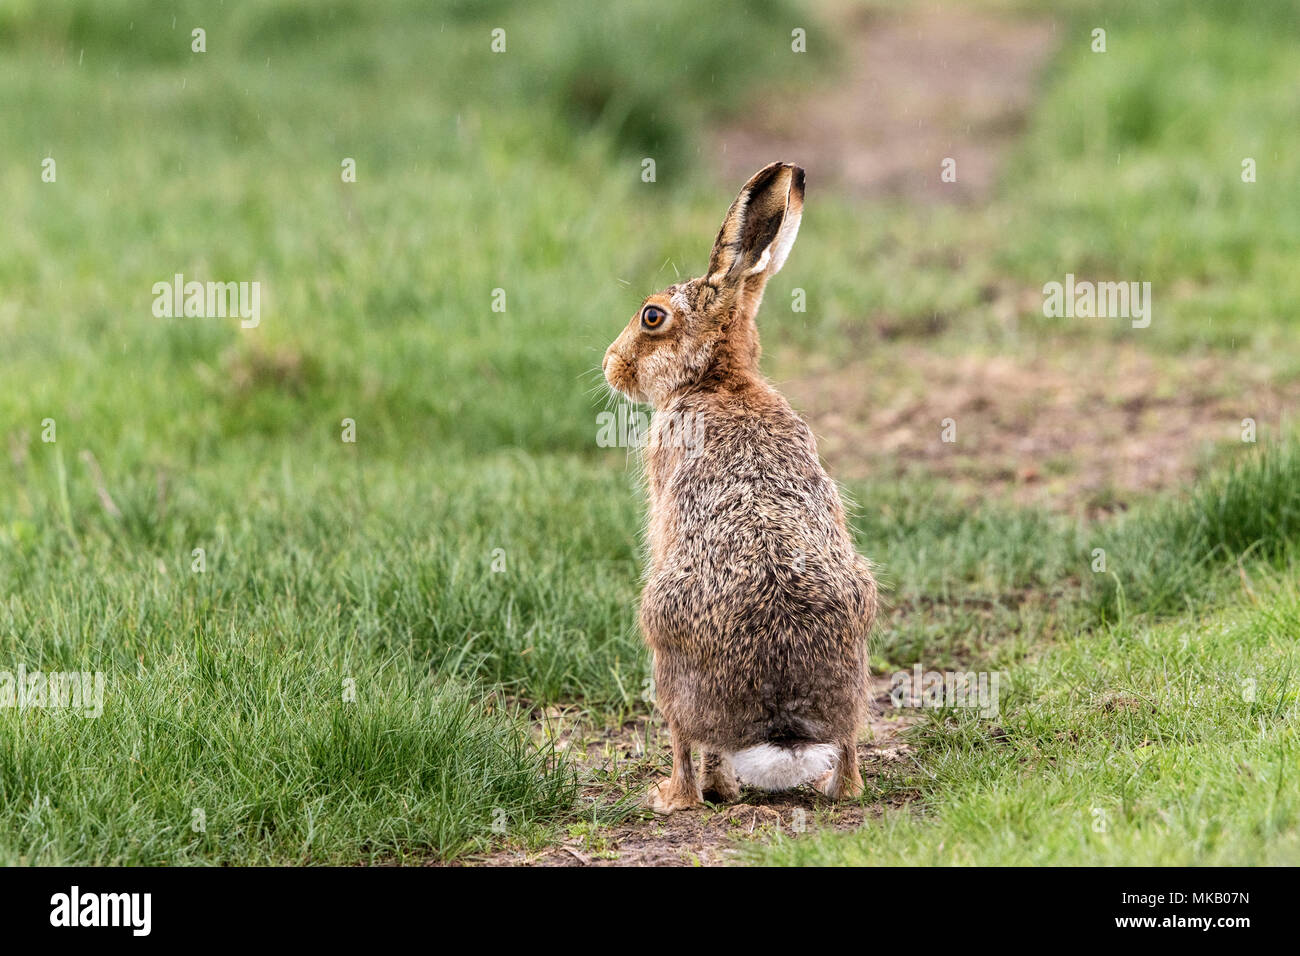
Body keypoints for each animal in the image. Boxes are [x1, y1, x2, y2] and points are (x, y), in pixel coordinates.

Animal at [602, 162, 878, 813]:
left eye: (653, 316)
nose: (610, 364)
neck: (717, 379)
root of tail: (779, 722)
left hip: (662, 637)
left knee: (689, 745)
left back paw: (672, 795)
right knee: (849, 753)